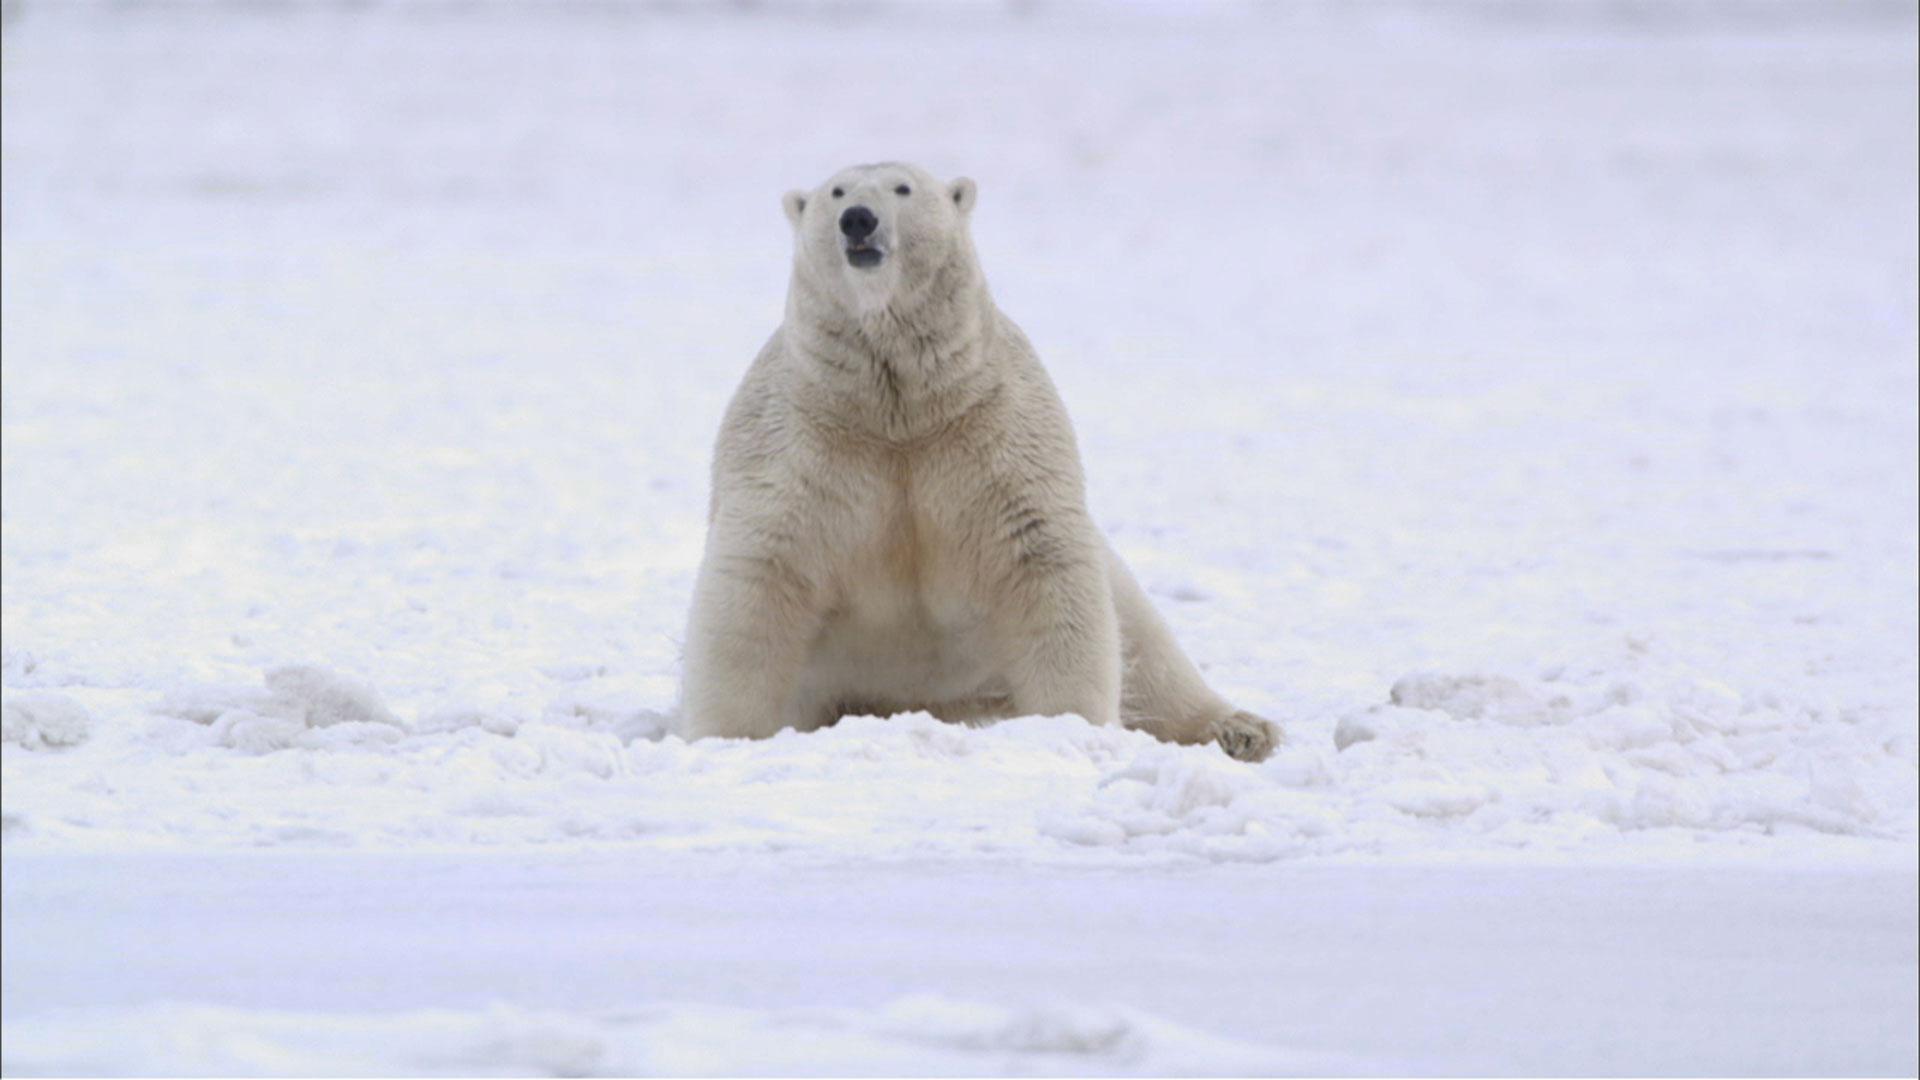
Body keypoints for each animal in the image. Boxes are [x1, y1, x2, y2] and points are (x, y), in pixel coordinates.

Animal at [679, 162, 1279, 762]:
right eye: (836, 192)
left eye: (903, 188)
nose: (858, 220)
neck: (897, 408)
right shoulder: (797, 442)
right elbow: (760, 572)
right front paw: (727, 737)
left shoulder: (996, 429)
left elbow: (1043, 559)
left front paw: (1072, 725)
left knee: (1146, 641)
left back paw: (1242, 729)